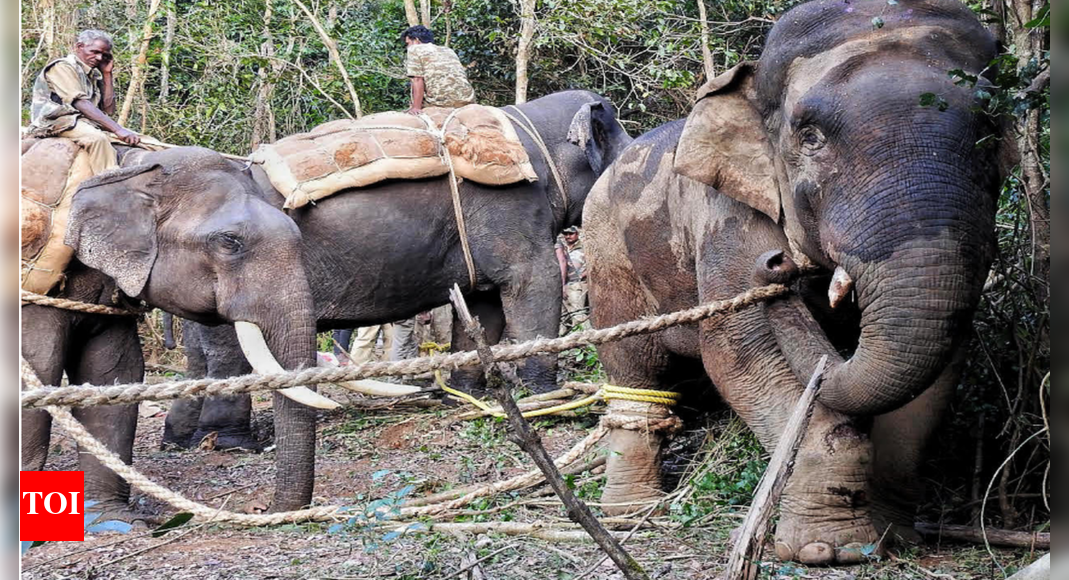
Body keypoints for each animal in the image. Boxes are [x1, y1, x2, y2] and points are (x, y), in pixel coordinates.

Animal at [21, 146, 326, 519]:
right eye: (230, 242)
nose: (267, 509)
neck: (129, 166)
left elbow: (113, 374)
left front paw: (114, 519)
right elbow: (38, 371)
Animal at [582, 0, 1012, 566]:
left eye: (991, 133)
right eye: (809, 137)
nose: (776, 264)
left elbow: (939, 366)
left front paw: (892, 536)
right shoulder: (728, 223)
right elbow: (740, 353)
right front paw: (825, 549)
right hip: (608, 251)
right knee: (635, 367)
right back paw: (628, 512)